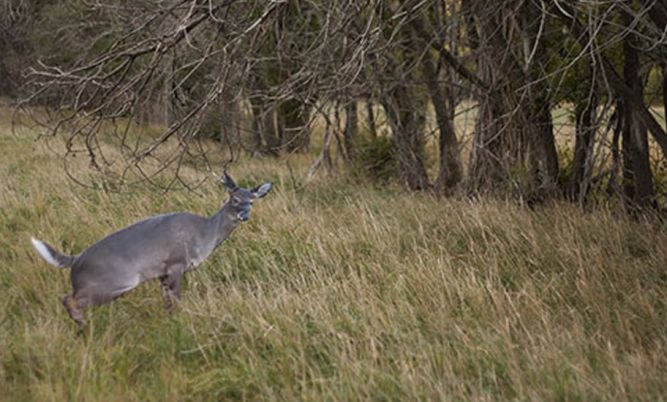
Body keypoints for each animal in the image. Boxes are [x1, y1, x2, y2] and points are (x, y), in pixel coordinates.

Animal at [30, 172, 272, 326]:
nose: (245, 214)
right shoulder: (176, 262)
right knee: (68, 299)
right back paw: (83, 326)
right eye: (234, 198)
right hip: (115, 282)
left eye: (252, 201)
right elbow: (176, 300)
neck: (205, 234)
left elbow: (167, 302)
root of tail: (76, 260)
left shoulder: (162, 273)